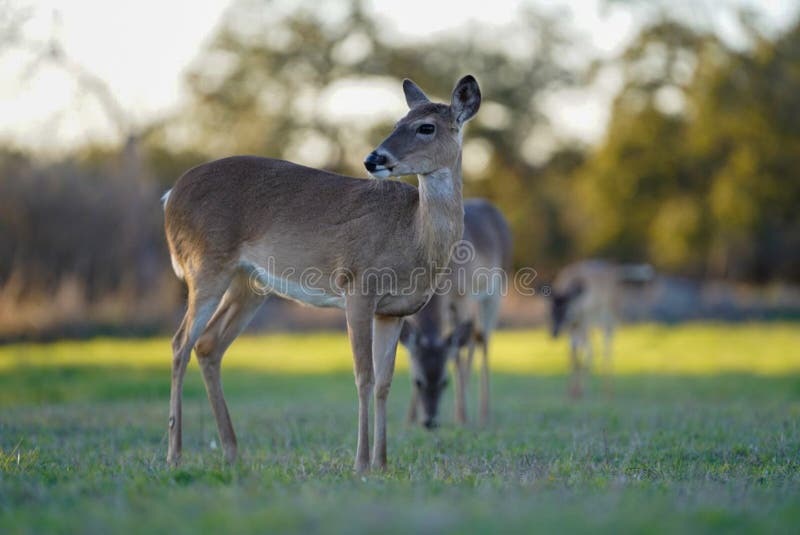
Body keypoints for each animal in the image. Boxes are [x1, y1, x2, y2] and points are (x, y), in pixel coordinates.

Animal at [161, 75, 481, 472]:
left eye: (426, 127)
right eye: (397, 123)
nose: (373, 159)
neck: (413, 235)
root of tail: (170, 196)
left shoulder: (393, 310)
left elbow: (385, 382)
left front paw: (382, 463)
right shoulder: (358, 286)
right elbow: (364, 376)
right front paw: (361, 464)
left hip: (249, 283)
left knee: (207, 344)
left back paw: (232, 452)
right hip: (205, 265)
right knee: (180, 343)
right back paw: (175, 454)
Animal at [400, 199, 512, 429]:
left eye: (445, 382)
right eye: (417, 381)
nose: (430, 421)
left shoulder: (462, 297)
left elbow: (456, 355)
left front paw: (462, 415)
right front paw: (409, 418)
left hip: (495, 290)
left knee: (481, 340)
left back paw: (481, 413)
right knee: (471, 338)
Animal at [548, 259, 653, 398]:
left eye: (566, 310)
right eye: (550, 311)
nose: (554, 333)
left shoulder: (584, 322)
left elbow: (587, 354)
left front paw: (580, 392)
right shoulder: (573, 328)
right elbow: (573, 355)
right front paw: (570, 392)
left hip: (609, 318)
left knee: (606, 349)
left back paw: (608, 391)